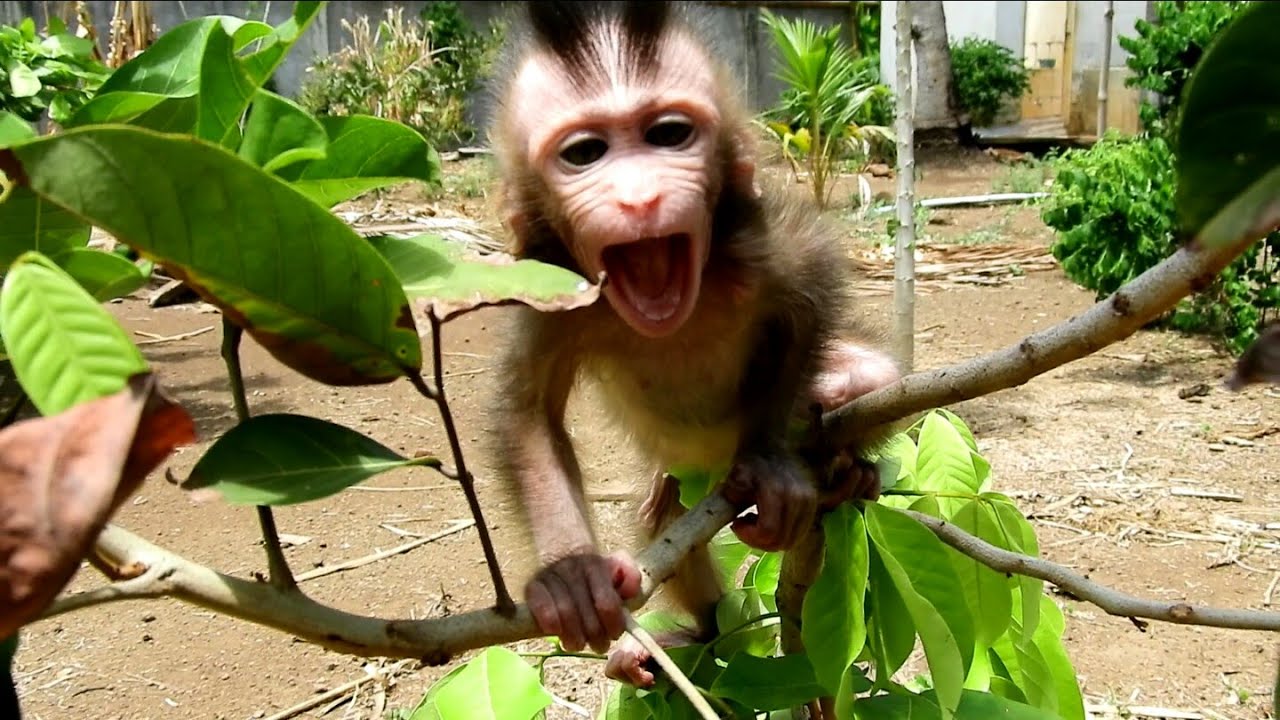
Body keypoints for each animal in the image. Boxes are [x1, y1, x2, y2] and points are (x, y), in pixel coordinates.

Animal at [486, 1, 902, 687]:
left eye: (669, 135)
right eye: (585, 153)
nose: (641, 197)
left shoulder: (757, 247)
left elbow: (808, 297)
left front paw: (769, 461)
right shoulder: (553, 295)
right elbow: (527, 412)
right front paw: (571, 574)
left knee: (878, 377)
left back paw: (845, 466)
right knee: (663, 519)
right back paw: (701, 628)